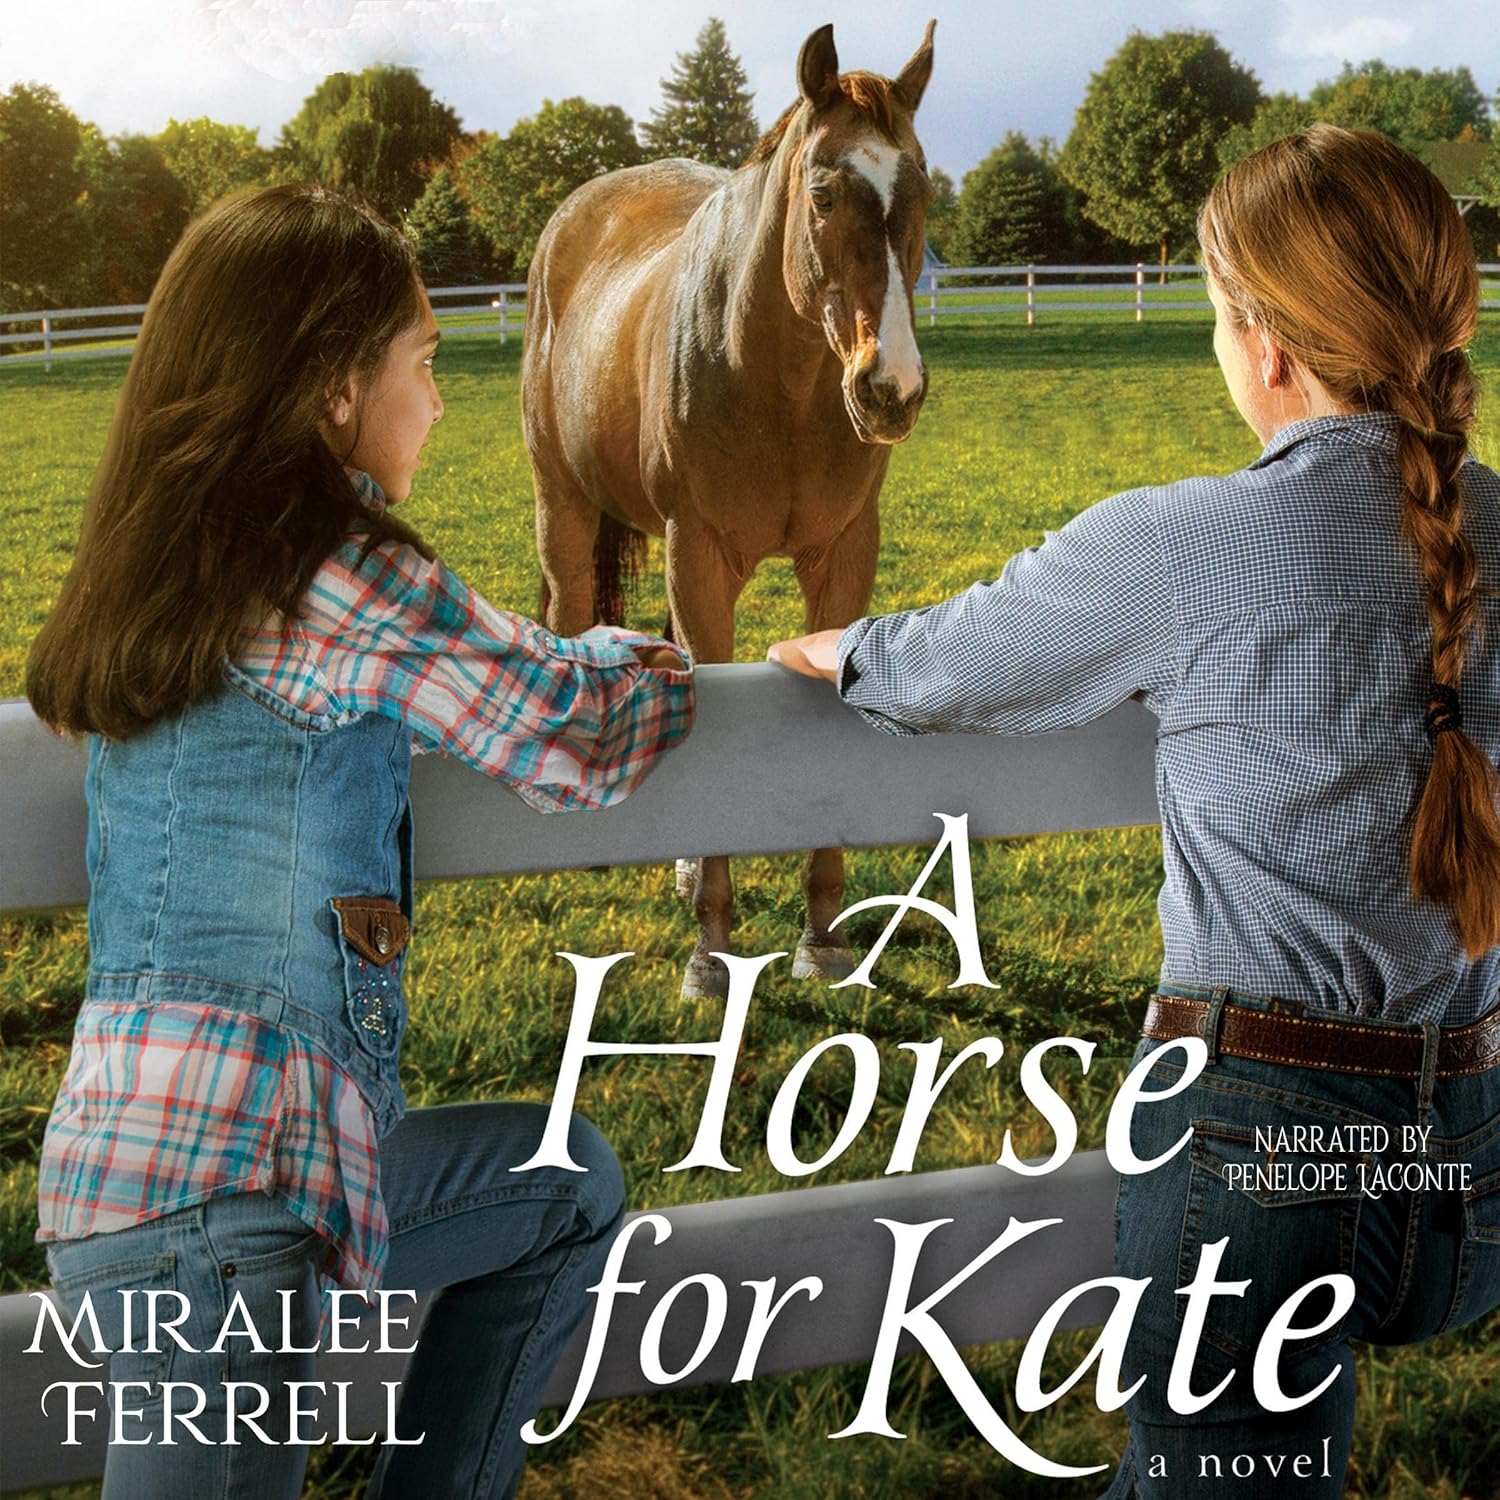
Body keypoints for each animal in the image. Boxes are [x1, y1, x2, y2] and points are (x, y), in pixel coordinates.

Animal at [522, 22, 936, 997]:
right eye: (823, 192)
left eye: (925, 190)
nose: (892, 389)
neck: (777, 384)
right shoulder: (699, 552)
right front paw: (710, 953)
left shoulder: (843, 555)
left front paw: (821, 936)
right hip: (564, 509)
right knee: (571, 614)